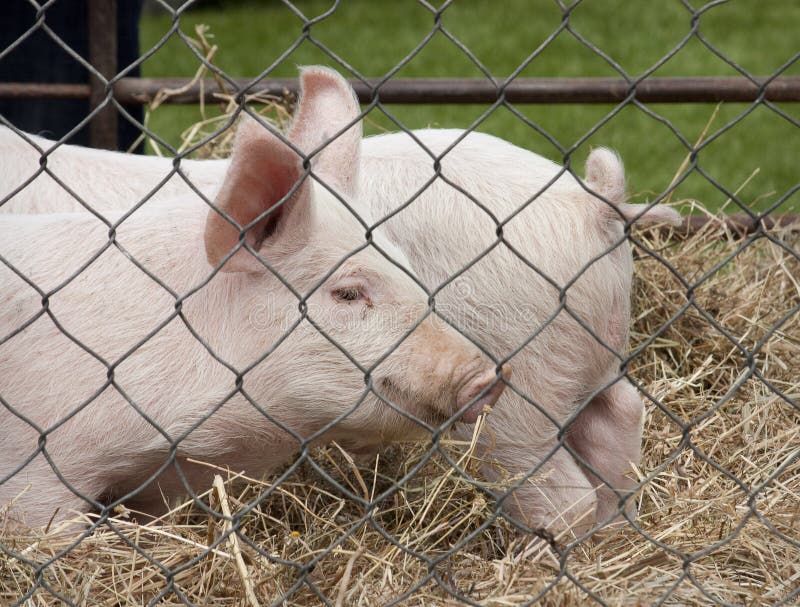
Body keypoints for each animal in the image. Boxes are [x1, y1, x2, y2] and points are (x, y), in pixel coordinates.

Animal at [0, 68, 680, 536]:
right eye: (349, 292)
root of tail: (591, 204)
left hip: (520, 391)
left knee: (561, 493)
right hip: (583, 362)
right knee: (620, 419)